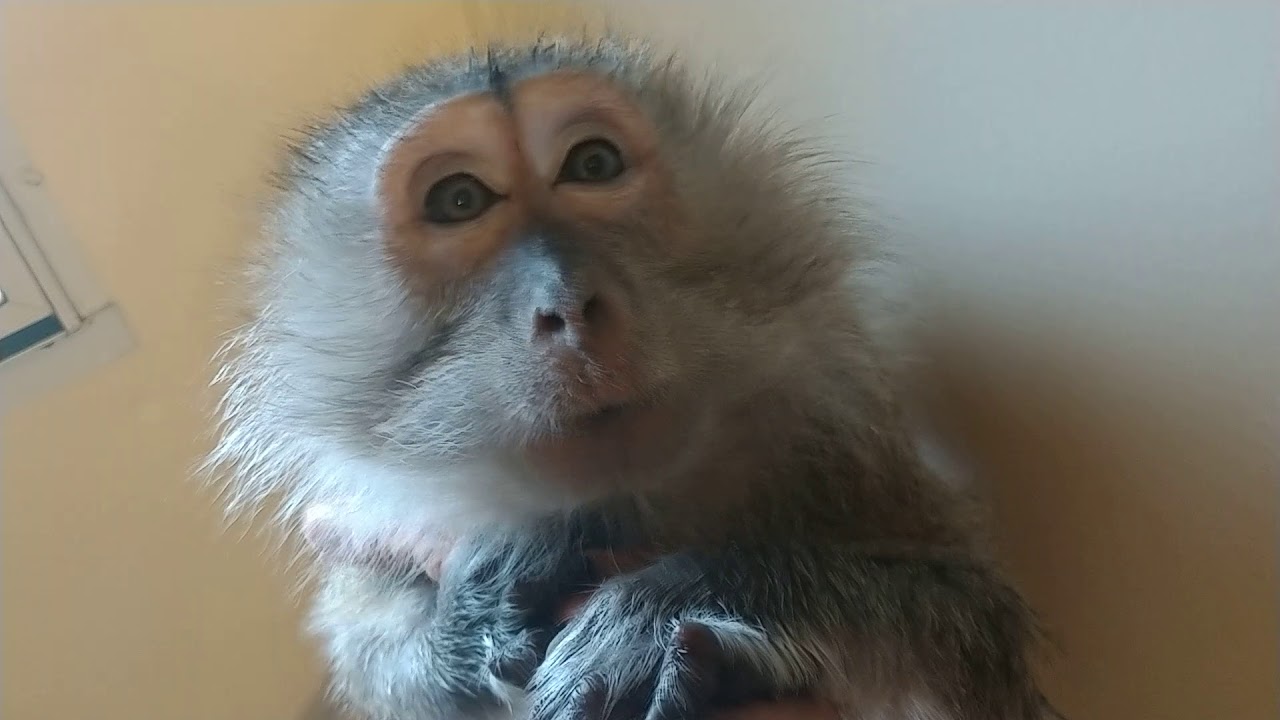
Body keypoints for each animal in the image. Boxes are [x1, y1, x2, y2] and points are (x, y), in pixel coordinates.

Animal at [203, 32, 1059, 720]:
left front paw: (674, 604)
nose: (570, 304)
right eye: (459, 199)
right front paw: (464, 620)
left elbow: (974, 627)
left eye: (592, 164)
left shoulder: (846, 444)